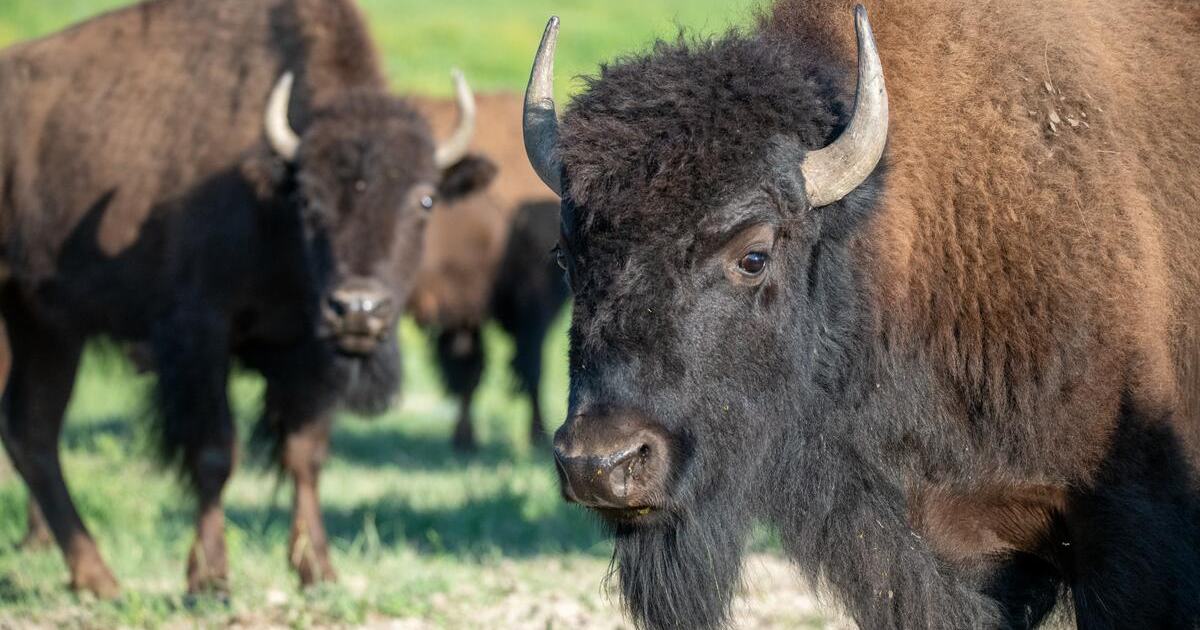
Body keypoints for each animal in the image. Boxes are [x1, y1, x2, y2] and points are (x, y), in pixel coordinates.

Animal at [0, 0, 490, 596]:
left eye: (425, 199)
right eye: (308, 198)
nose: (358, 310)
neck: (270, 209)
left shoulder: (306, 352)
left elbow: (305, 454)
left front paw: (317, 569)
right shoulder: (199, 335)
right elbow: (214, 452)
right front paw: (209, 577)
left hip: (46, 328)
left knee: (32, 431)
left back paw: (97, 578)